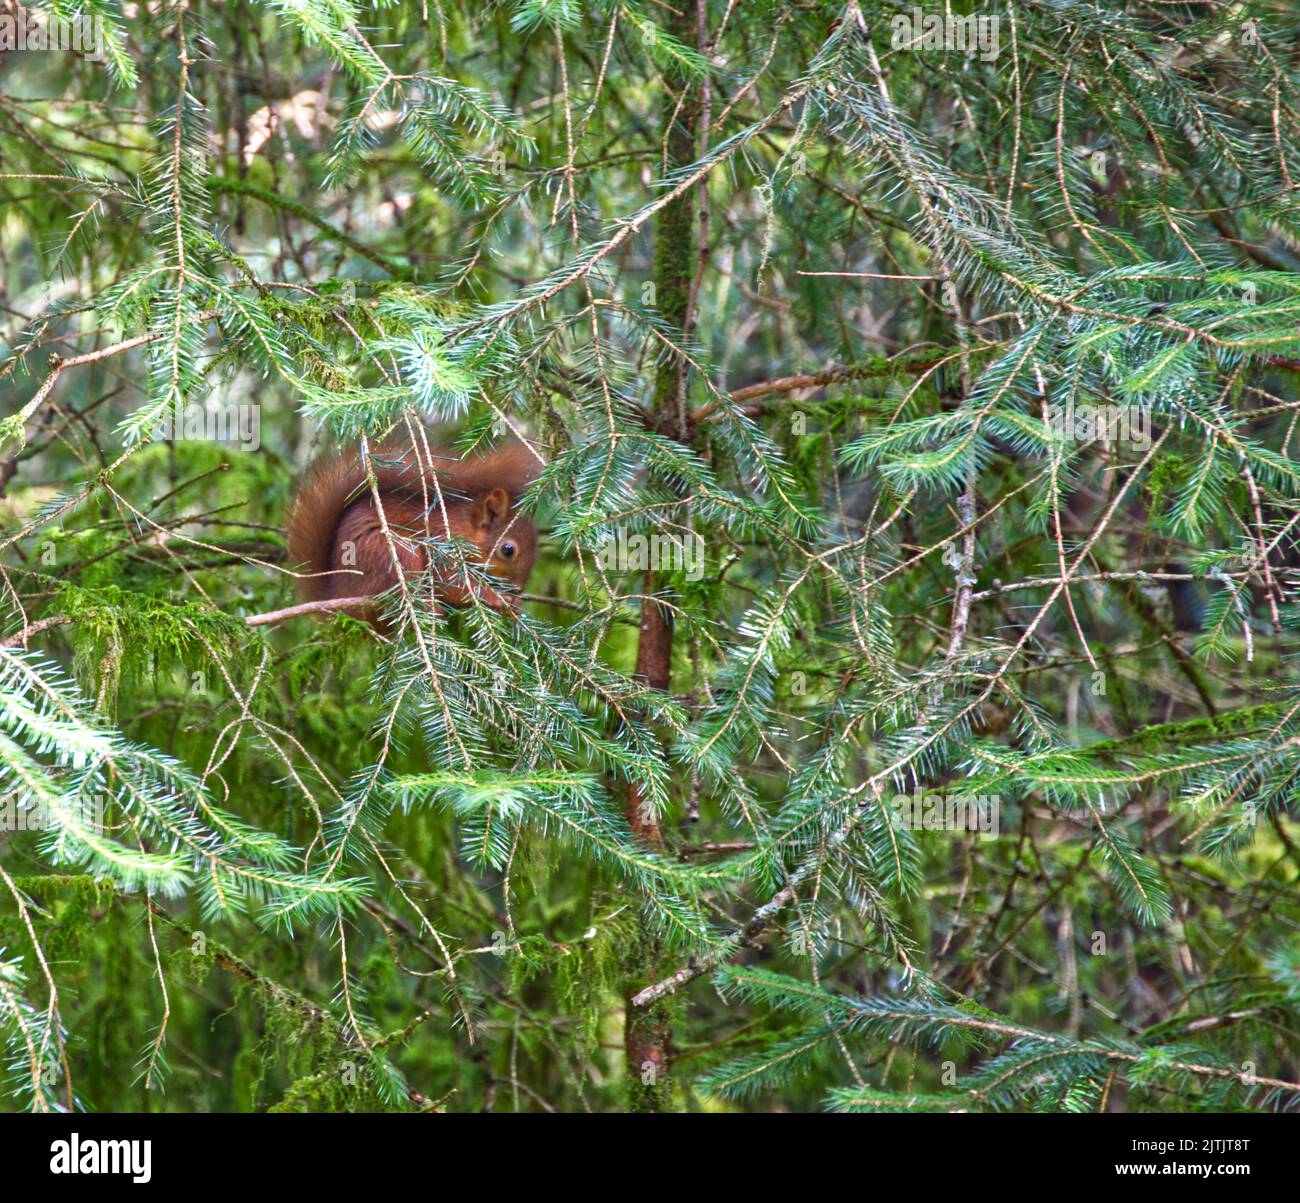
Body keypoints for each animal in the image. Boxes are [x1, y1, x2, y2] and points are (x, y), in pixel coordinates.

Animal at [286, 437, 540, 626]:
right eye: (508, 550)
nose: (517, 589)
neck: (462, 527)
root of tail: (339, 595)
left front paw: (514, 605)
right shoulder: (442, 544)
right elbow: (451, 583)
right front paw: (496, 597)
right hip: (393, 554)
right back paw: (429, 607)